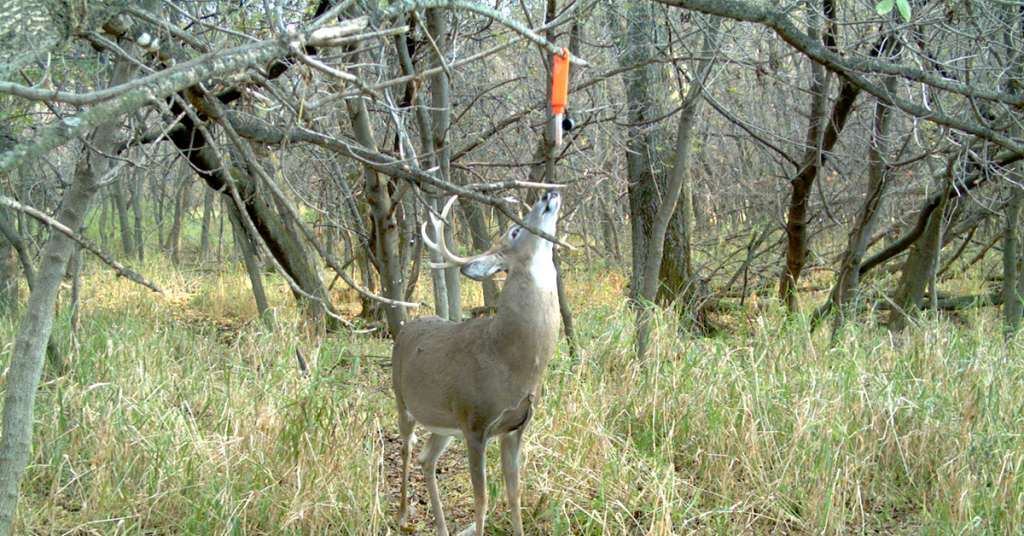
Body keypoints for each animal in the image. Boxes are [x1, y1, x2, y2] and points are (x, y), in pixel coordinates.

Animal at [392, 190, 563, 536]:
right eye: (514, 230)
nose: (547, 193)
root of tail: (406, 326)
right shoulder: (475, 424)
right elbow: (481, 500)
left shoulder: (516, 427)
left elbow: (514, 494)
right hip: (402, 400)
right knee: (407, 448)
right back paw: (402, 515)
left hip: (444, 421)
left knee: (426, 458)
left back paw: (442, 528)